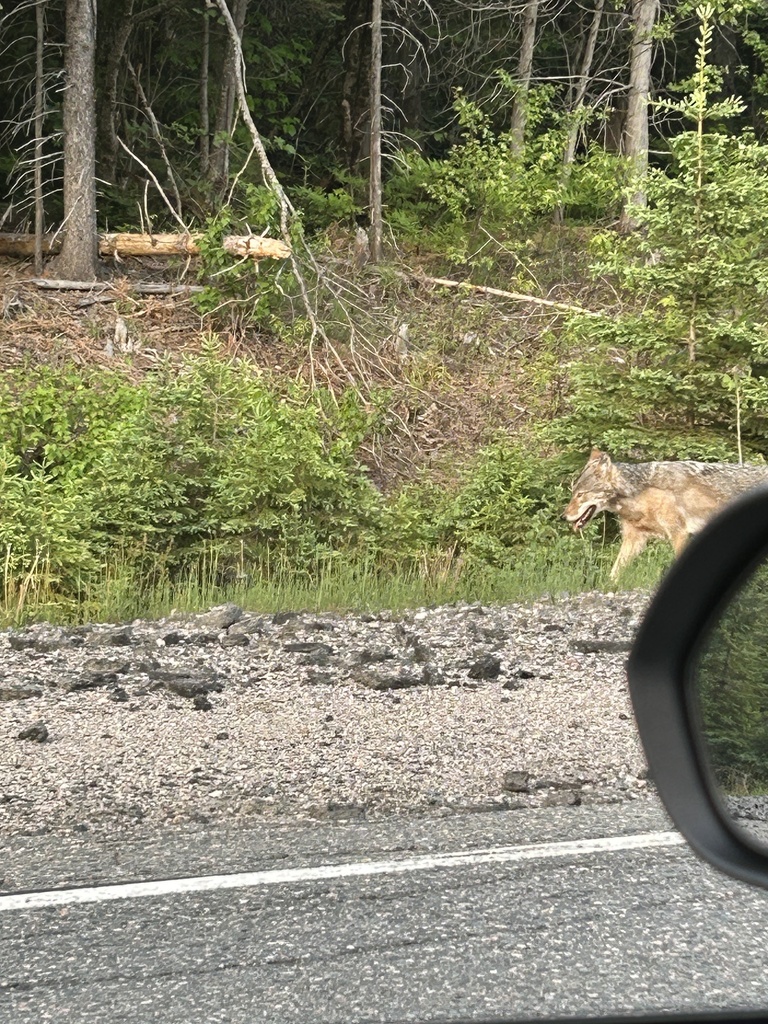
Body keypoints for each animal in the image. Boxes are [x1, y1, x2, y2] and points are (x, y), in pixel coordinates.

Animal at [564, 449, 768, 579]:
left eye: (581, 495)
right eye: (573, 493)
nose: (563, 517)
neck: (639, 495)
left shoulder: (680, 534)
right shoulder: (634, 539)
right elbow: (614, 573)